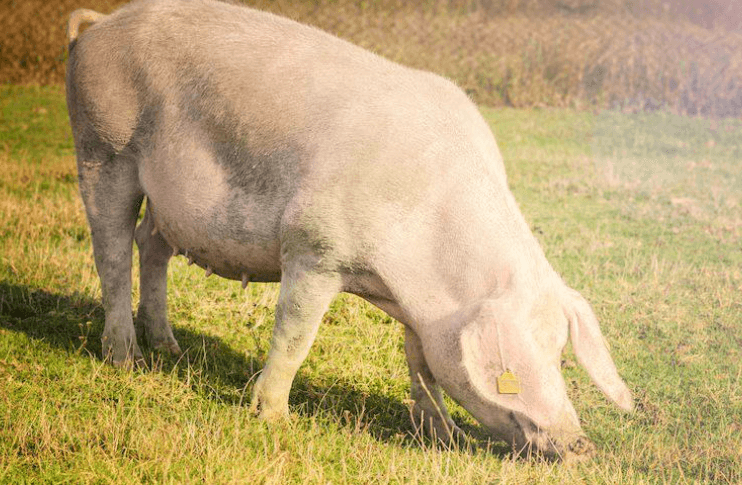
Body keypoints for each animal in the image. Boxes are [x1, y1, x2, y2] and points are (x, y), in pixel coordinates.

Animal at [65, 0, 633, 460]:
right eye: (526, 357)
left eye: (561, 354)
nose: (581, 446)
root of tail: (99, 25)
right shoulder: (315, 249)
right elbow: (295, 336)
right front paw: (275, 420)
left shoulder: (421, 310)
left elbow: (421, 363)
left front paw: (444, 437)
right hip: (102, 146)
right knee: (111, 249)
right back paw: (128, 360)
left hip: (166, 203)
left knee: (150, 245)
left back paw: (170, 350)